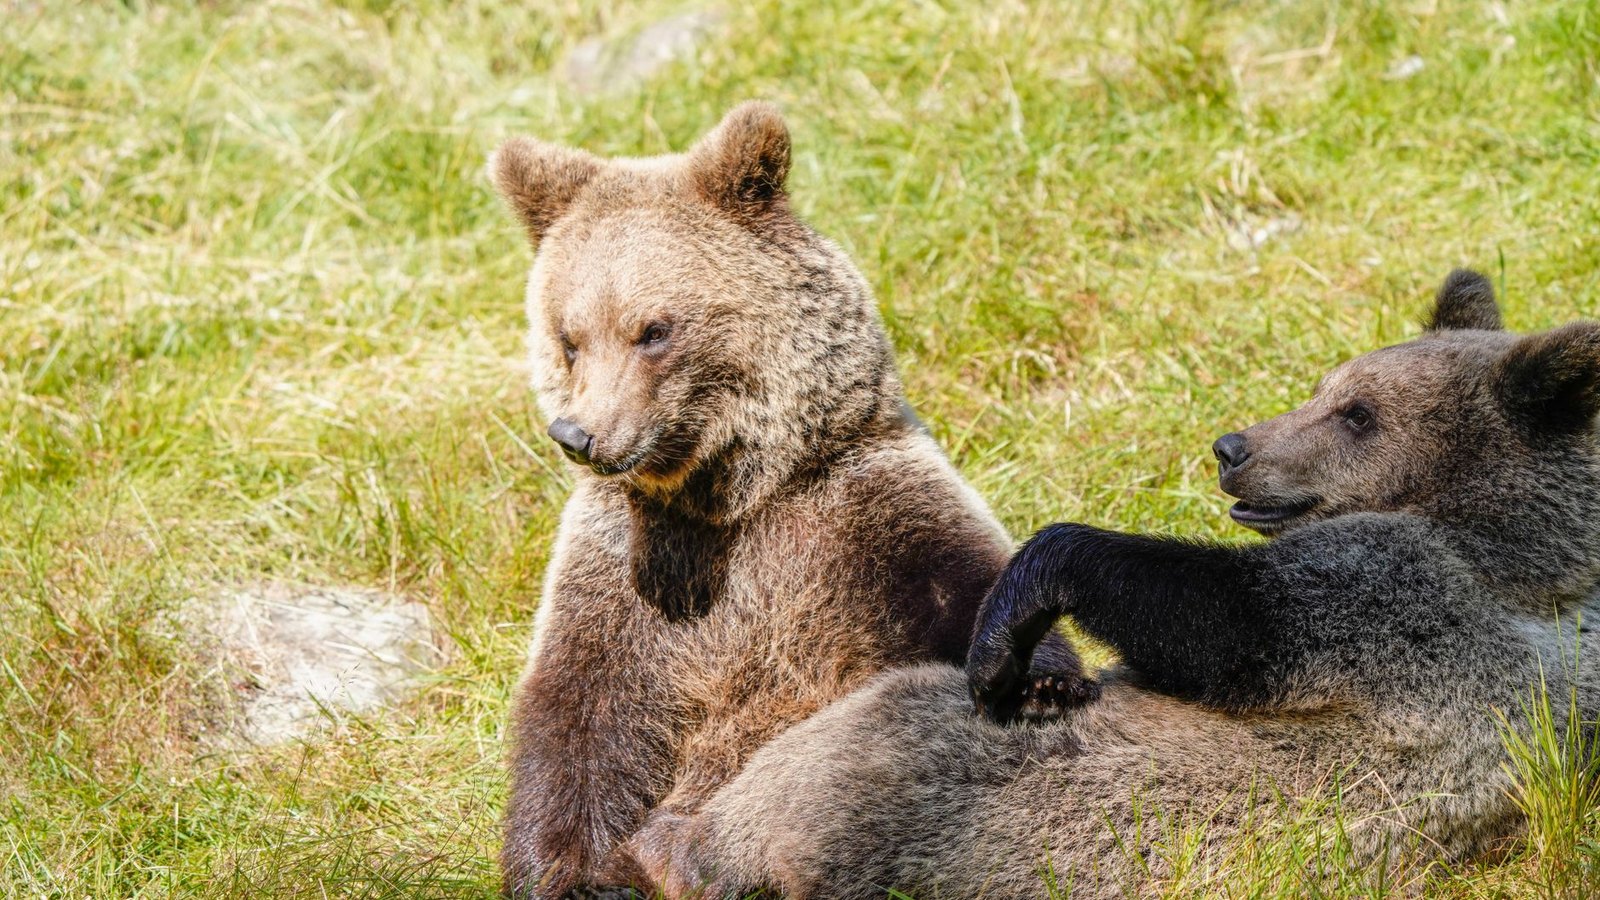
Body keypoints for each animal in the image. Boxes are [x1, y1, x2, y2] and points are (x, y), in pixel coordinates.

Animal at [487, 102, 1091, 899]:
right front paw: (579, 872)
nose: (579, 434)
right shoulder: (629, 569)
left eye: (654, 329)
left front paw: (1038, 681)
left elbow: (964, 593)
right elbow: (580, 717)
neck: (735, 496)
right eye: (569, 336)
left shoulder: (859, 511)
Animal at [639, 270, 1600, 899]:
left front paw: (1017, 614)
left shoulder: (1413, 609)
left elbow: (1228, 620)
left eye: (1359, 414)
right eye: (1327, 383)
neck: (1516, 551)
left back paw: (677, 849)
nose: (1233, 448)